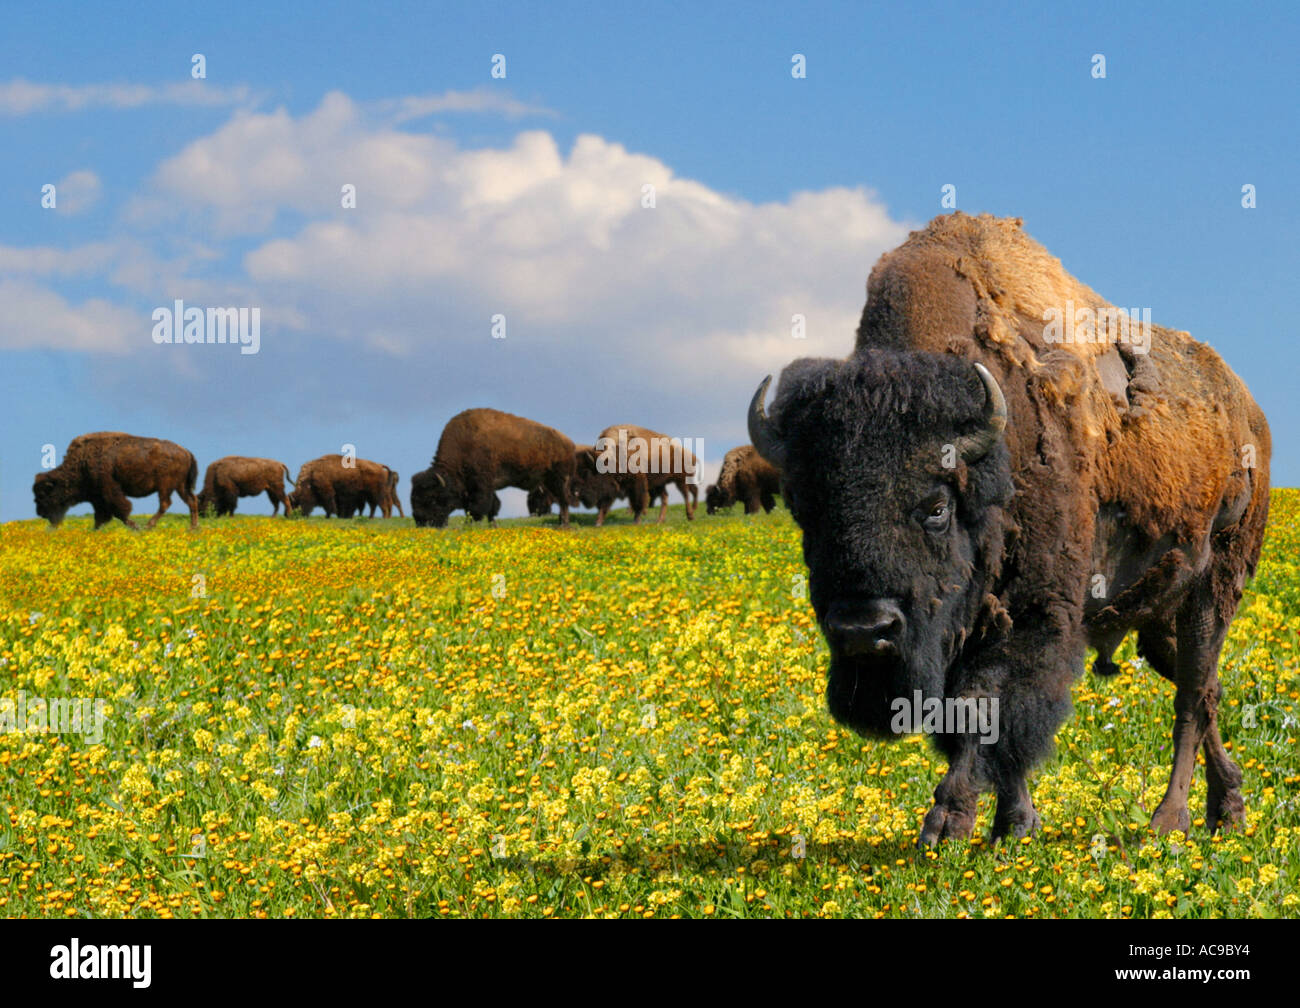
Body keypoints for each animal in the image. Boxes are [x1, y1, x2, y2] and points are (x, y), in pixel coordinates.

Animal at [34, 431, 199, 530]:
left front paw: (135, 527)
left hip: (166, 486)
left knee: (166, 503)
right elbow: (100, 516)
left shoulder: (109, 491)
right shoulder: (97, 498)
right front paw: (95, 531)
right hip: (180, 486)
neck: (82, 462)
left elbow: (120, 511)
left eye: (44, 494)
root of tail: (186, 452)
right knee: (191, 501)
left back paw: (148, 526)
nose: (41, 513)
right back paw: (193, 528)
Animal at [411, 409, 574, 528]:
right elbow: (491, 507)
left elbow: (478, 507)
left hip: (558, 480)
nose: (421, 522)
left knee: (564, 501)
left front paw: (470, 525)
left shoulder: (481, 486)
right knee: (562, 501)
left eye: (433, 499)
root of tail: (568, 443)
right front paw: (492, 525)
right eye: (413, 498)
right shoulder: (487, 487)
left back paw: (564, 525)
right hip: (548, 482)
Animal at [748, 212, 1269, 844]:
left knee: (1192, 696)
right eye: (806, 510)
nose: (862, 629)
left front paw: (947, 823)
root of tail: (1247, 412)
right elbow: (974, 724)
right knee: (1206, 688)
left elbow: (990, 707)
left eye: (936, 508)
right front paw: (1015, 824)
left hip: (1214, 588)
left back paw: (1170, 820)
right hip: (1156, 613)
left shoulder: (1028, 615)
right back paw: (1229, 807)